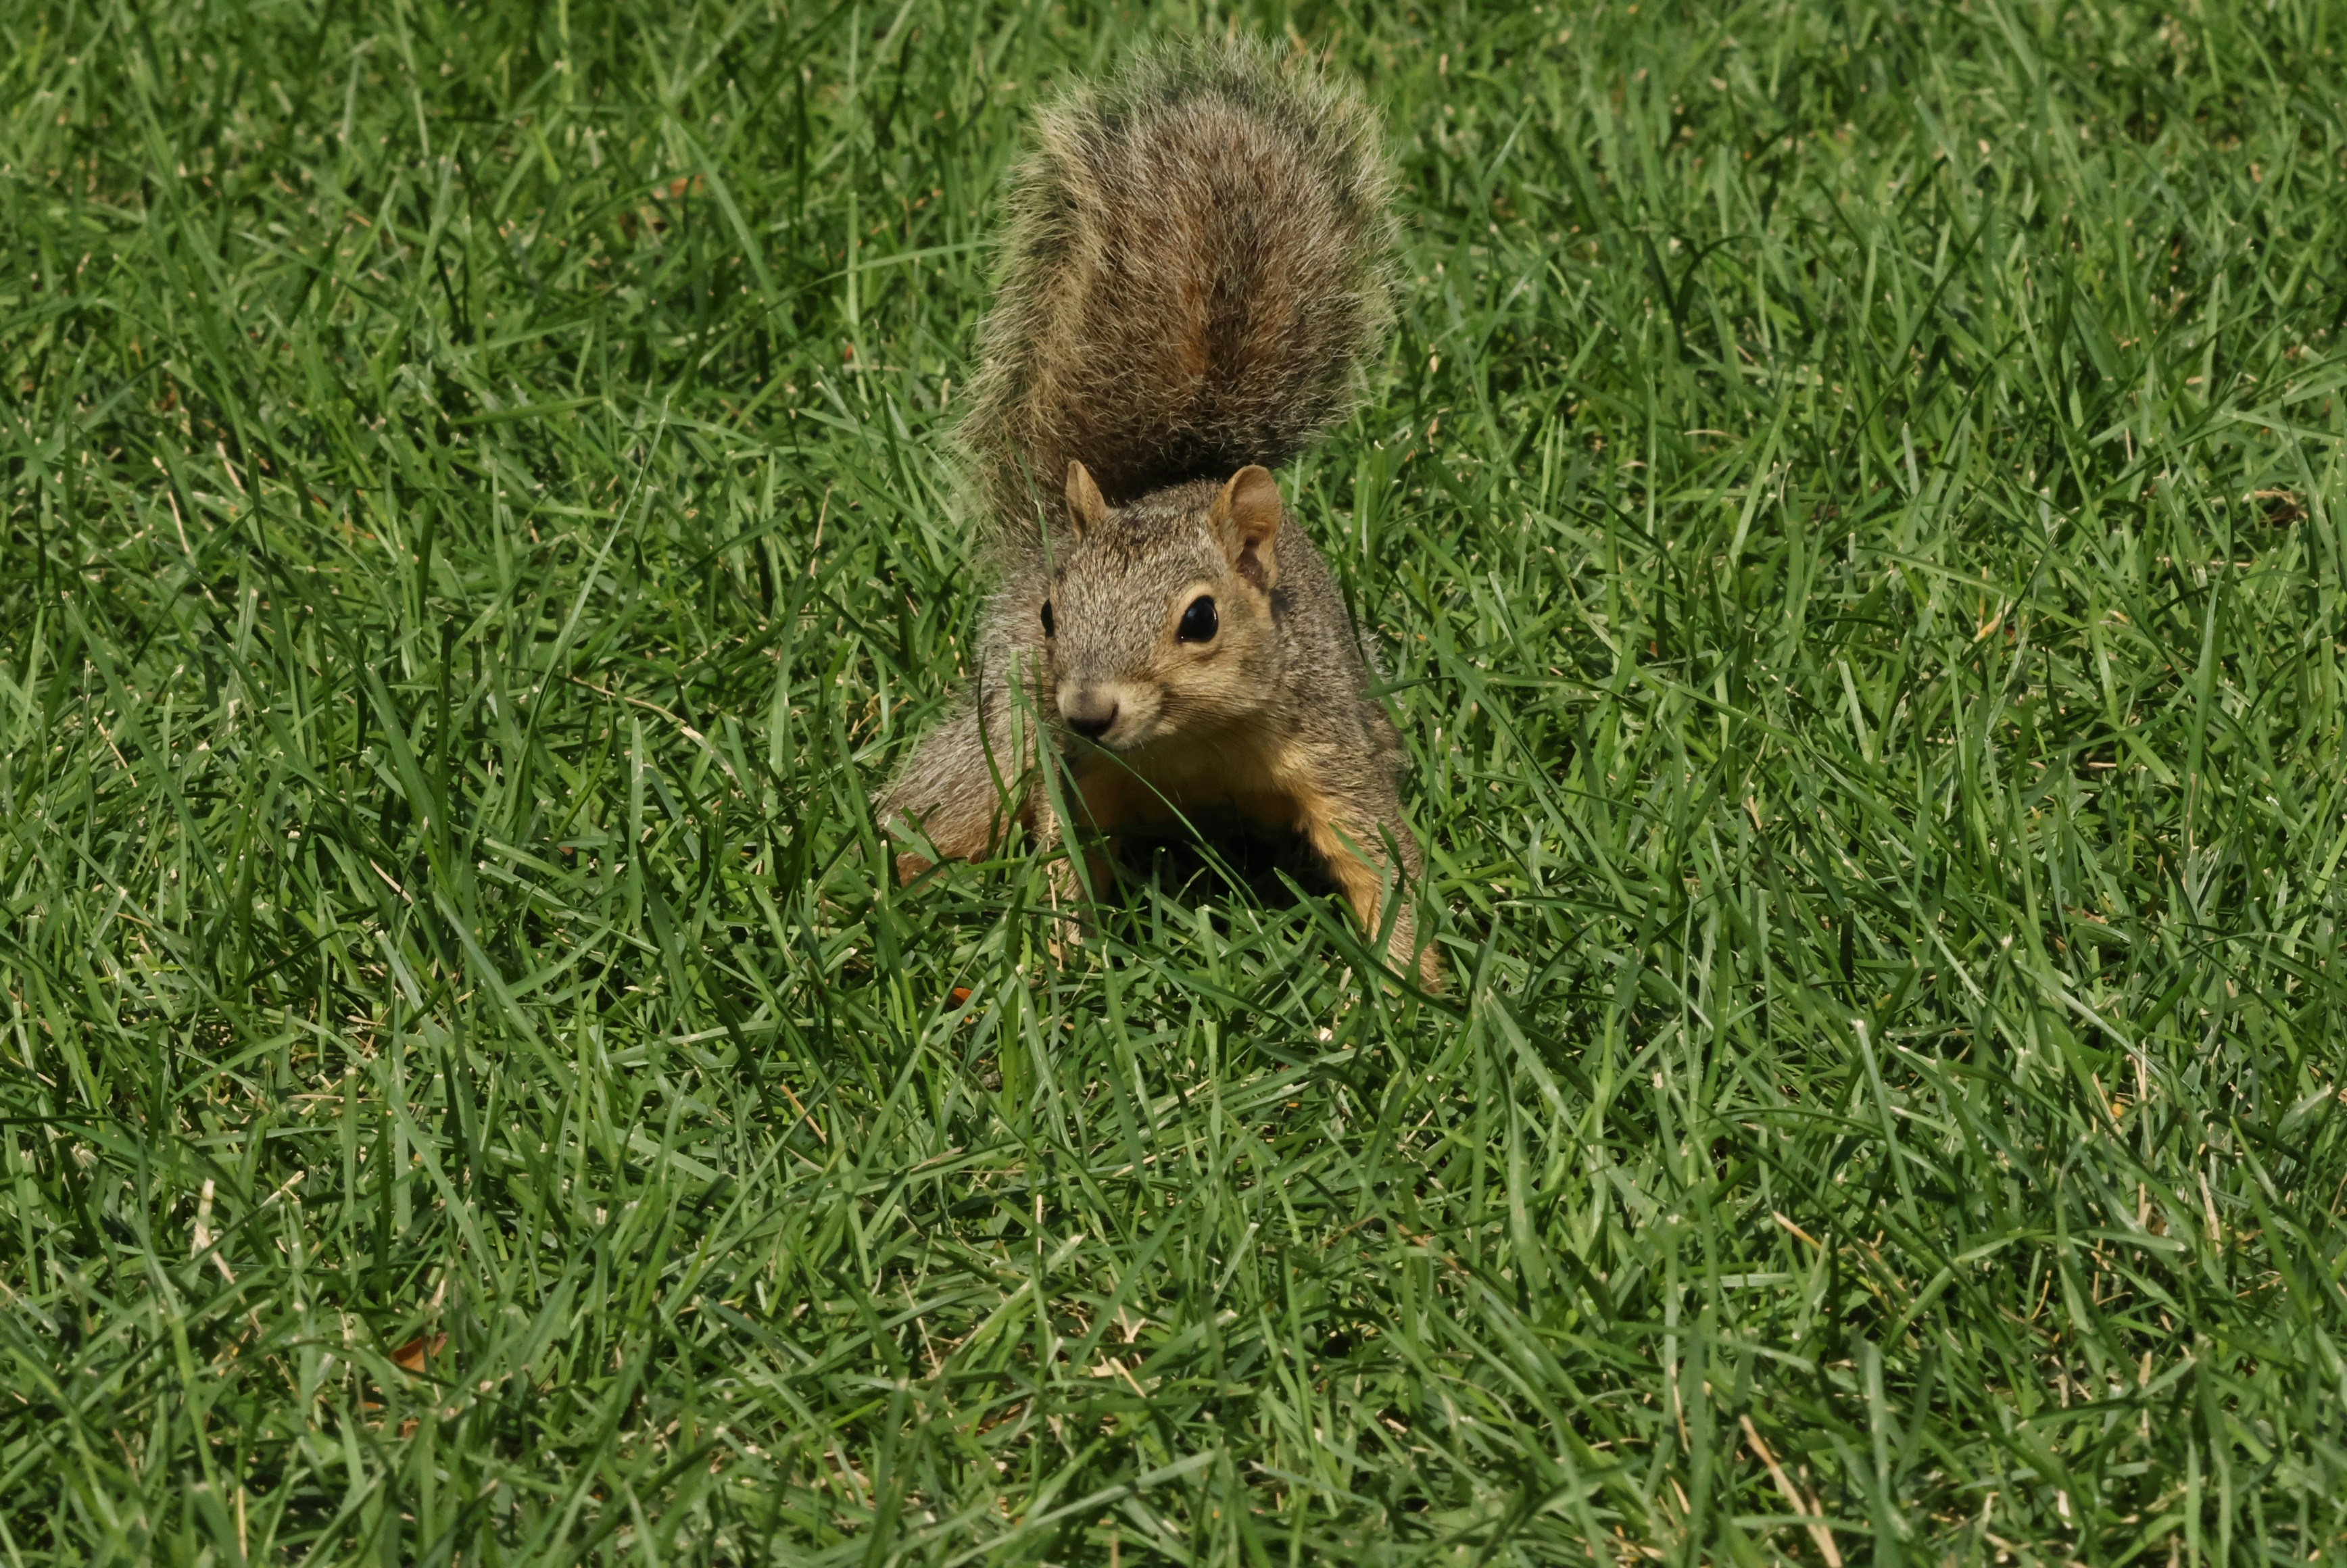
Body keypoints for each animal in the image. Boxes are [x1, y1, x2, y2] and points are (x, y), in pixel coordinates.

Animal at [880, 38, 1440, 987]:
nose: (1088, 712)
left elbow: (1380, 860)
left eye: (1202, 619)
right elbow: (1062, 854)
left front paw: (1416, 995)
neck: (1188, 742)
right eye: (1051, 614)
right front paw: (1064, 970)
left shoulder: (1329, 749)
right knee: (951, 802)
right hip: (1007, 722)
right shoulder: (1073, 769)